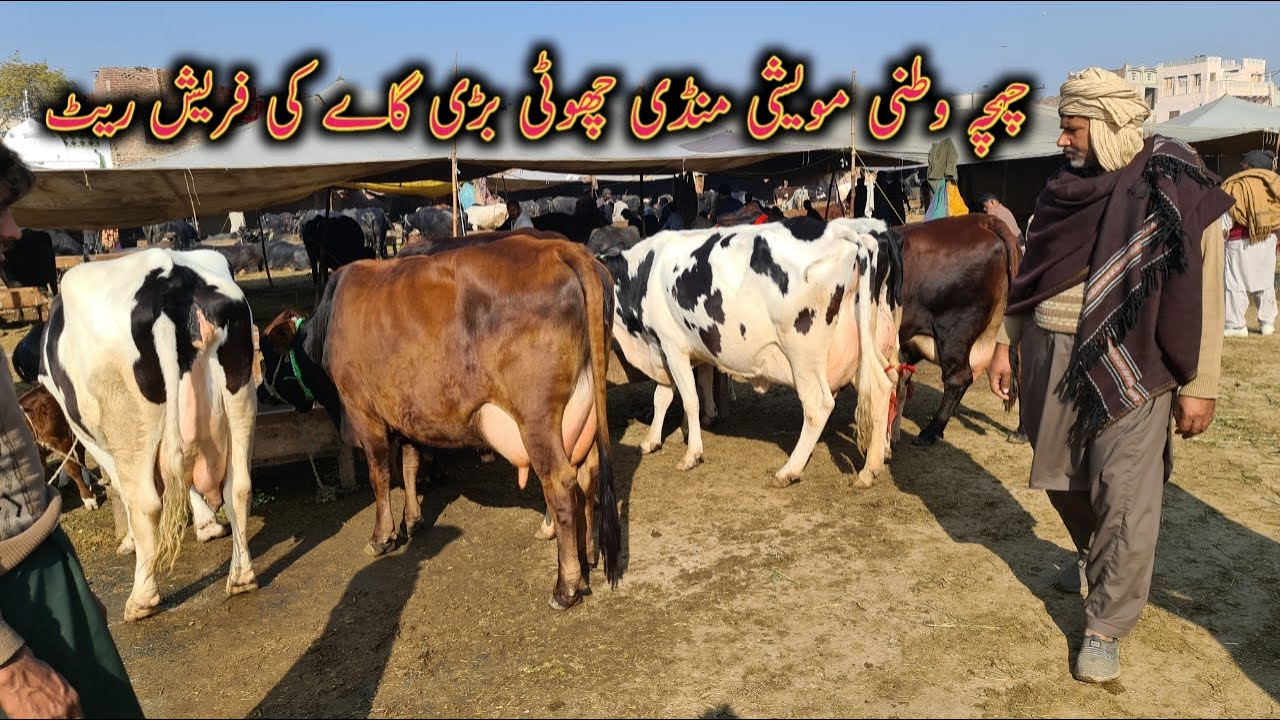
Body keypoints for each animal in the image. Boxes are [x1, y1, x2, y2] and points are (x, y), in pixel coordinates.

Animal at [38, 248, 259, 620]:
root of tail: (170, 275)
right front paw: (207, 525)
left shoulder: (92, 437)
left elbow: (120, 487)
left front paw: (128, 540)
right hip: (240, 399)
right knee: (238, 486)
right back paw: (241, 577)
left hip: (130, 423)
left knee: (146, 503)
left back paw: (141, 599)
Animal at [262, 234, 621, 610]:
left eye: (268, 354)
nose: (261, 392)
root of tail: (563, 249)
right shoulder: (407, 411)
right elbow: (409, 465)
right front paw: (413, 520)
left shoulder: (362, 411)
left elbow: (380, 475)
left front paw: (382, 536)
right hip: (582, 412)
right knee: (587, 476)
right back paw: (584, 559)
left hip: (537, 416)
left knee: (561, 483)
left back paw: (565, 587)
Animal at [595, 217, 903, 488]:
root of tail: (847, 233)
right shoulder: (667, 349)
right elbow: (663, 396)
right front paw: (651, 441)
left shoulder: (672, 346)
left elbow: (689, 400)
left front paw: (692, 454)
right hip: (865, 348)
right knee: (881, 388)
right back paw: (869, 469)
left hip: (803, 355)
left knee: (819, 406)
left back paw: (790, 470)